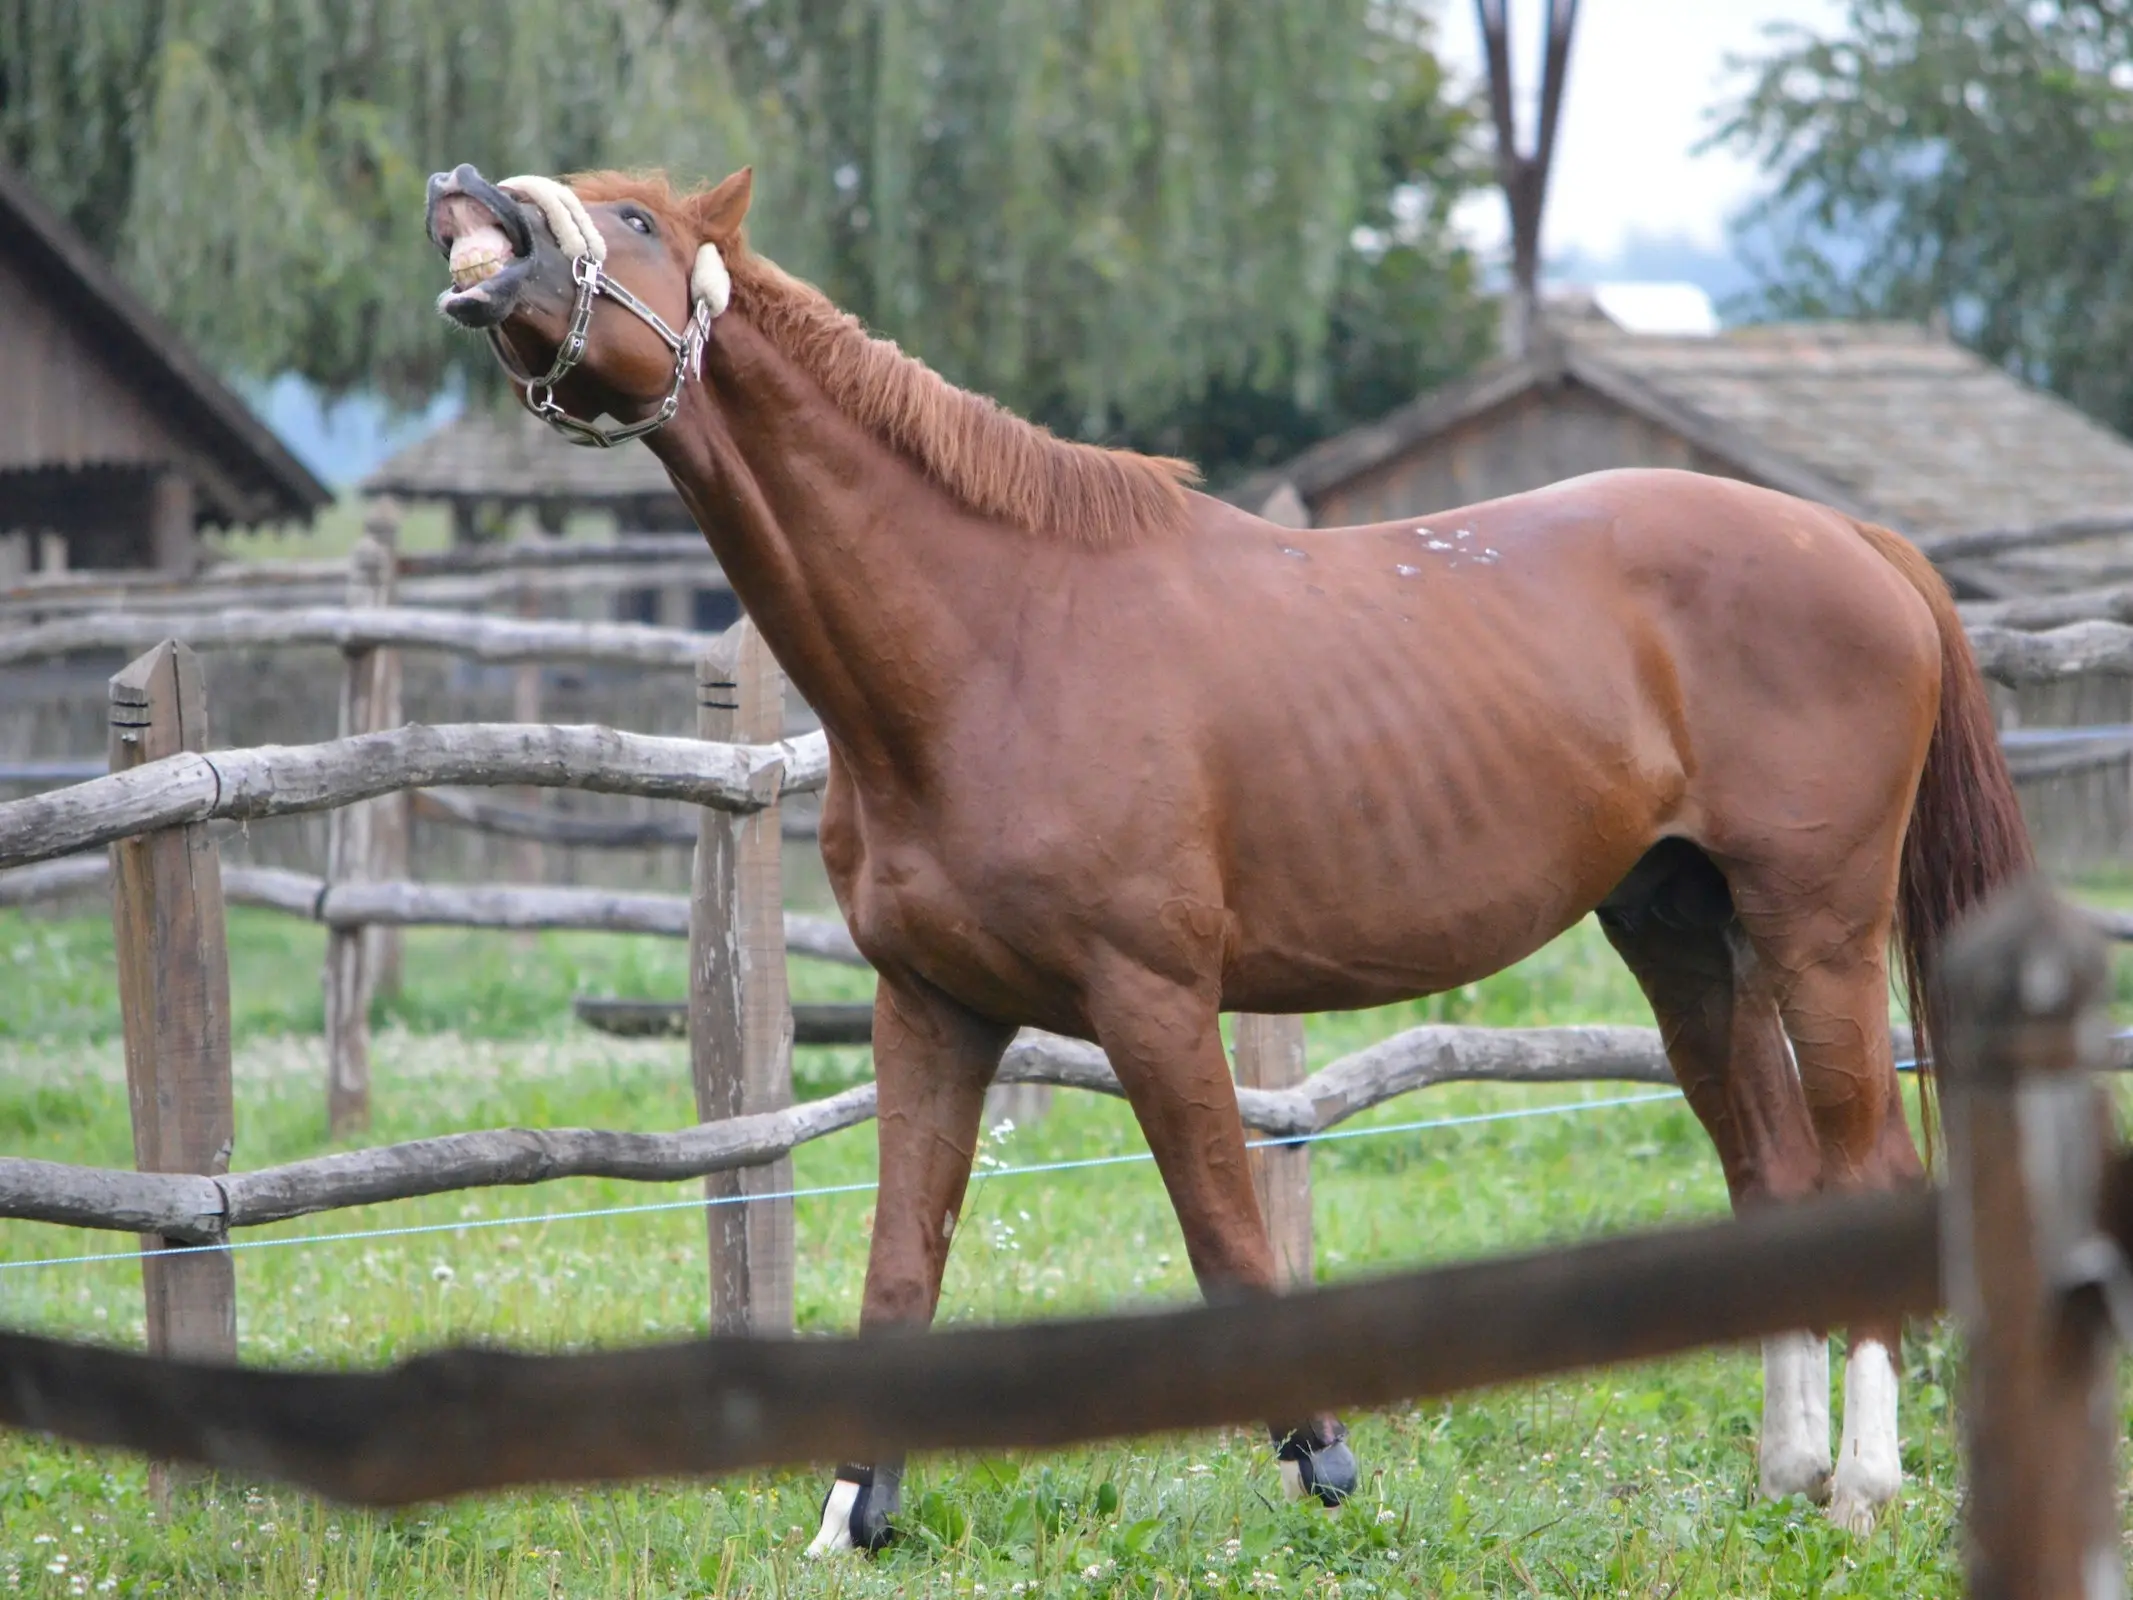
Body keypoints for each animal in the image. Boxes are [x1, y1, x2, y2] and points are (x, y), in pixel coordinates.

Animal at [421, 161, 2031, 1549]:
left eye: (633, 214)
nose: (469, 192)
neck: (994, 637)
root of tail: (1859, 544)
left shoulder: (1151, 998)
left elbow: (1224, 1236)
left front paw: (1327, 1470)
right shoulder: (929, 1009)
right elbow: (899, 1265)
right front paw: (849, 1516)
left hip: (1818, 930)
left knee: (1866, 1163)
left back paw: (1863, 1489)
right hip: (1683, 934)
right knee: (1771, 1173)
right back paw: (1790, 1469)